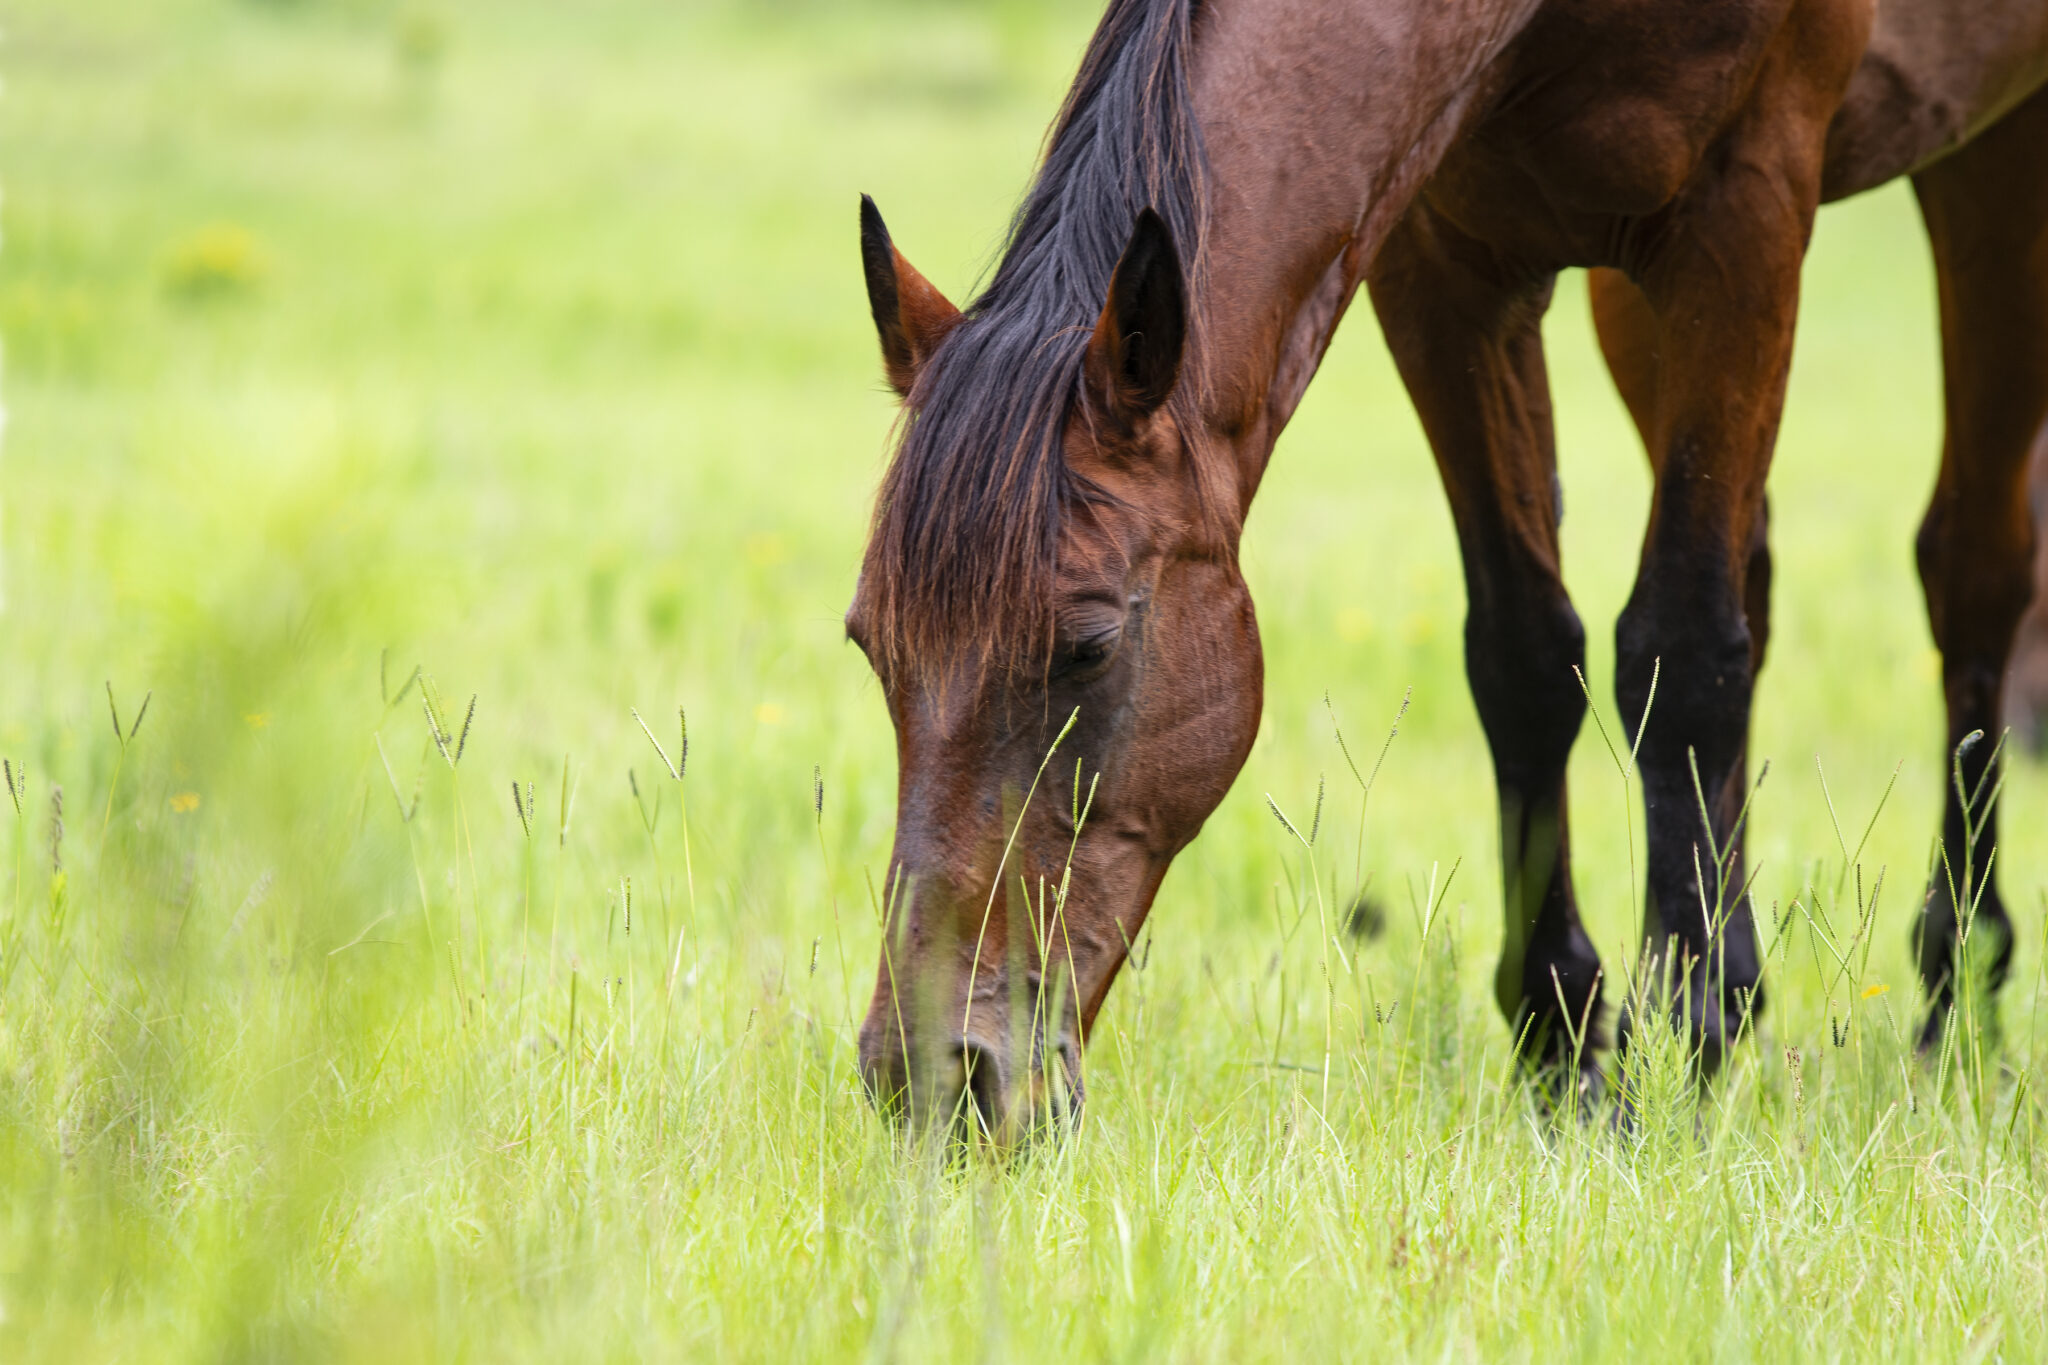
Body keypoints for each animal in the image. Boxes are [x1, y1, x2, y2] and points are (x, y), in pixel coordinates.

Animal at [846, 0, 2048, 1140]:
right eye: (870, 646)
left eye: (1089, 647)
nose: (929, 1075)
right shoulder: (1444, 262)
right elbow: (1525, 655)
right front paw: (1567, 1046)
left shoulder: (1742, 212)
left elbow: (1682, 649)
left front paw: (1686, 1040)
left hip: (1989, 164)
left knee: (1969, 571)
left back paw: (1957, 993)